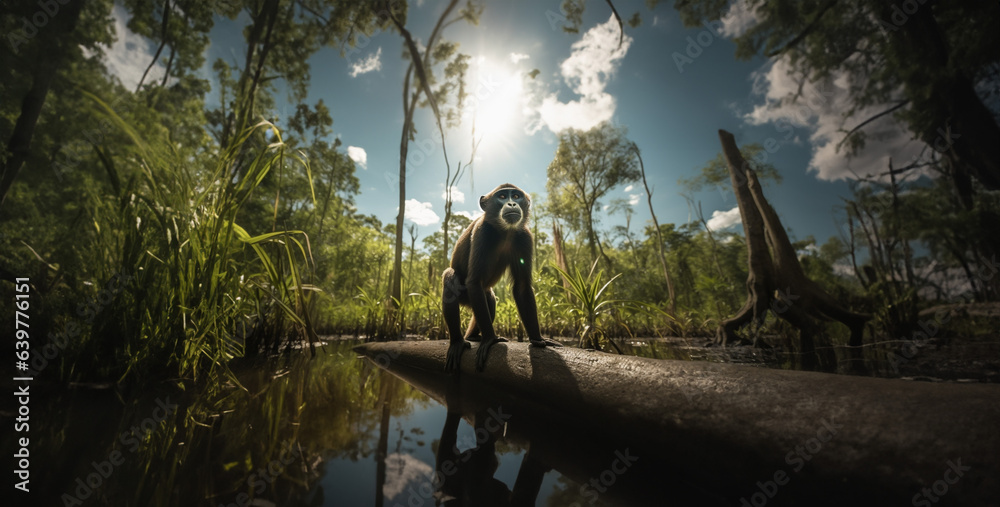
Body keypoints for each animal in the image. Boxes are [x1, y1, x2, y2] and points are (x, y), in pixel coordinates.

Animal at [442, 183, 561, 372]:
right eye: (503, 197)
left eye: (517, 196)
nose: (512, 204)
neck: (505, 232)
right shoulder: (482, 231)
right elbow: (474, 281)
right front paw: (491, 339)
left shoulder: (525, 236)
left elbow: (522, 286)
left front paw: (537, 339)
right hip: (465, 294)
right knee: (450, 276)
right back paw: (458, 342)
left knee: (489, 298)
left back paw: (473, 336)